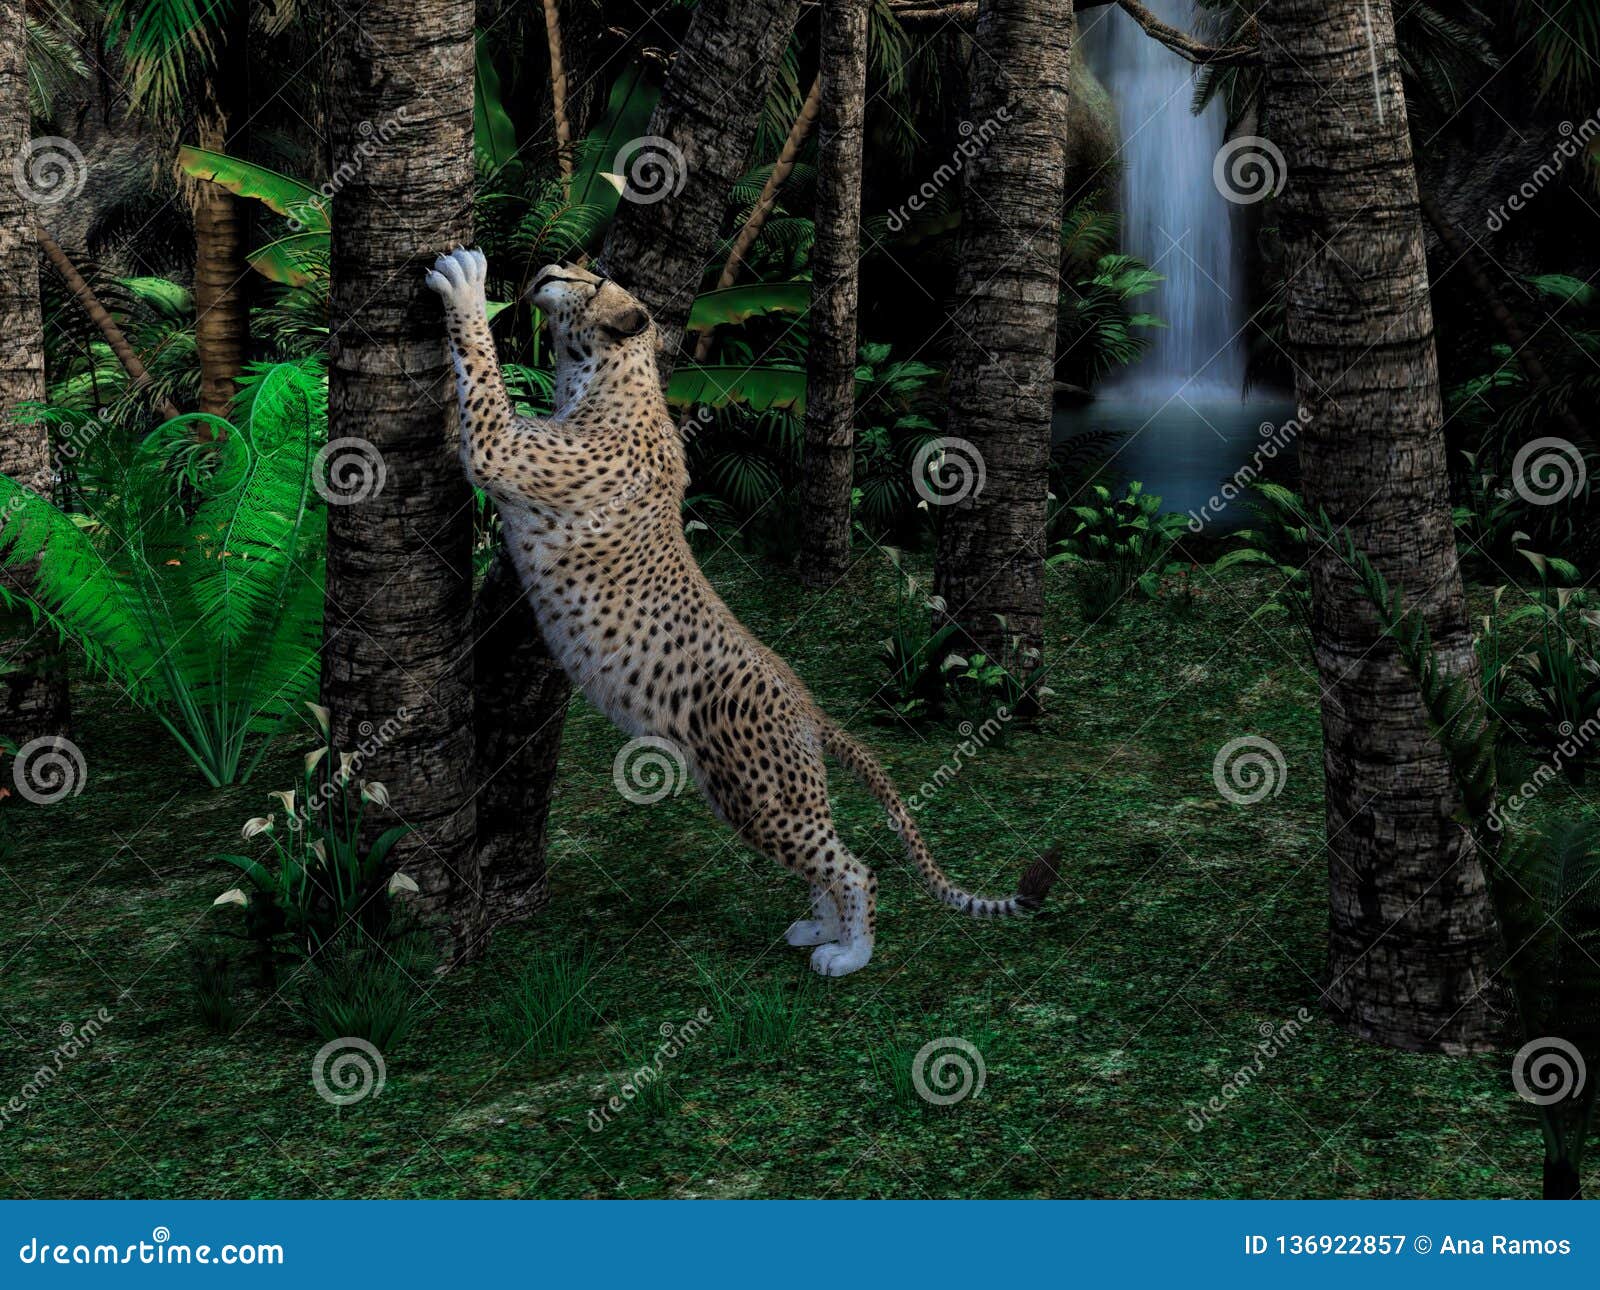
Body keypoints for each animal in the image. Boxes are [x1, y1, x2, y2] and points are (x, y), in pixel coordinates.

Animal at [424, 246, 1058, 976]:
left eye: (595, 278)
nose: (556, 266)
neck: (608, 376)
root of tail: (806, 702)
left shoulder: (498, 448)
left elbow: (481, 372)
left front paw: (465, 281)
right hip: (751, 792)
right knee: (824, 861)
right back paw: (821, 931)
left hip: (756, 792)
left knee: (851, 865)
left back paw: (851, 953)